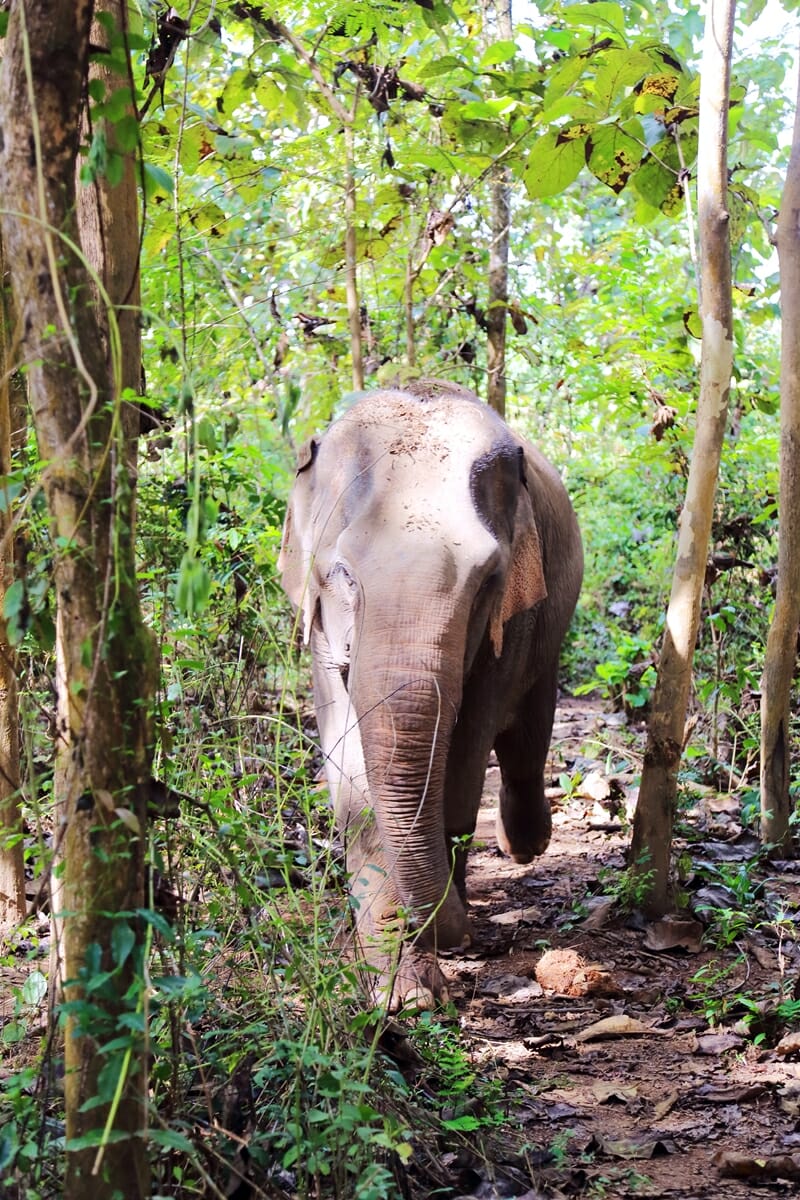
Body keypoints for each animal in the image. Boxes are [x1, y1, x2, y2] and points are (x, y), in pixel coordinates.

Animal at [279, 380, 583, 1007]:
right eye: (341, 572)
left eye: (488, 579)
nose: (460, 934)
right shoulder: (319, 630)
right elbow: (352, 779)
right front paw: (404, 993)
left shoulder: (511, 620)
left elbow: (464, 761)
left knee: (528, 731)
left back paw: (524, 844)